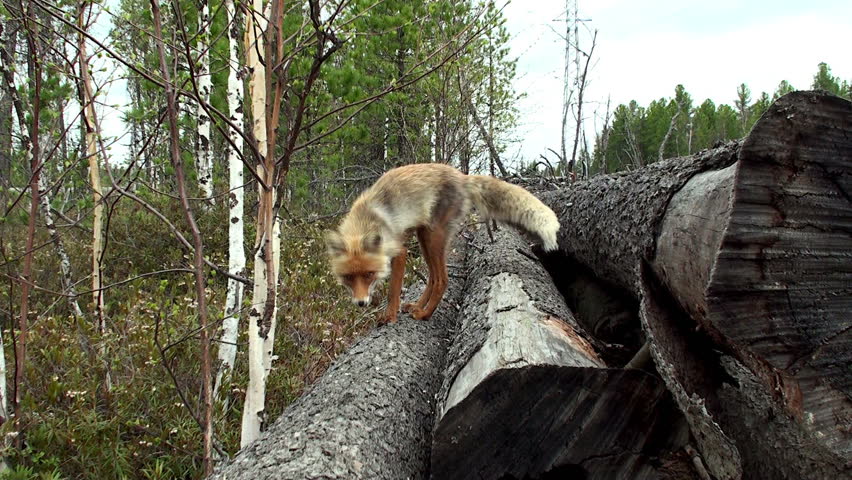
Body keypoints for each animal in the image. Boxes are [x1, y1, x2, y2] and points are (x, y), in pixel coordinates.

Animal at [324, 163, 560, 324]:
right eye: (348, 277)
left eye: (369, 274)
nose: (361, 303)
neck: (367, 220)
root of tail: (462, 176)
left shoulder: (399, 251)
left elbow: (393, 290)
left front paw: (389, 316)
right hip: (424, 237)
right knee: (432, 277)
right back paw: (417, 306)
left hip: (432, 236)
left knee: (442, 280)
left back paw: (424, 314)